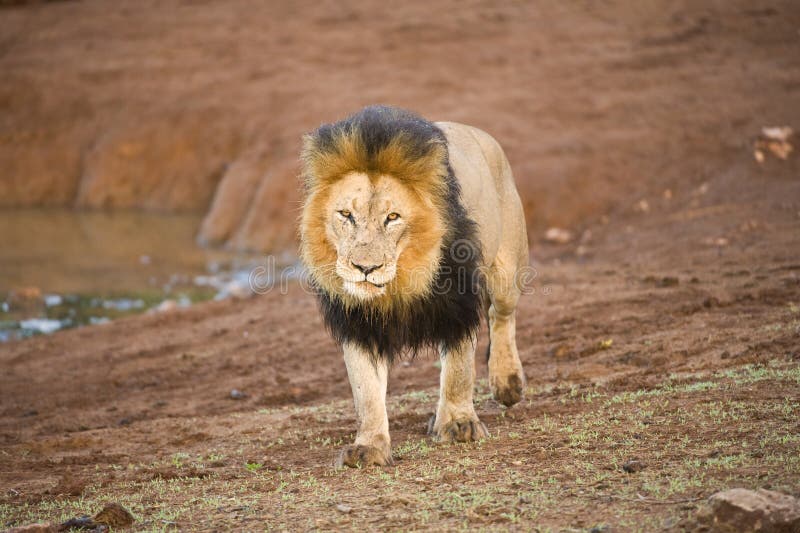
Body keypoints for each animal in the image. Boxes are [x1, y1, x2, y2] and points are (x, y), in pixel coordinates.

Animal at [299, 105, 529, 467]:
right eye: (346, 214)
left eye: (392, 217)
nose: (365, 268)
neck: (400, 284)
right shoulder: (357, 324)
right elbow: (366, 391)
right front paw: (369, 447)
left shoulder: (458, 304)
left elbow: (458, 371)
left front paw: (459, 425)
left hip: (507, 270)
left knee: (502, 316)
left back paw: (507, 384)